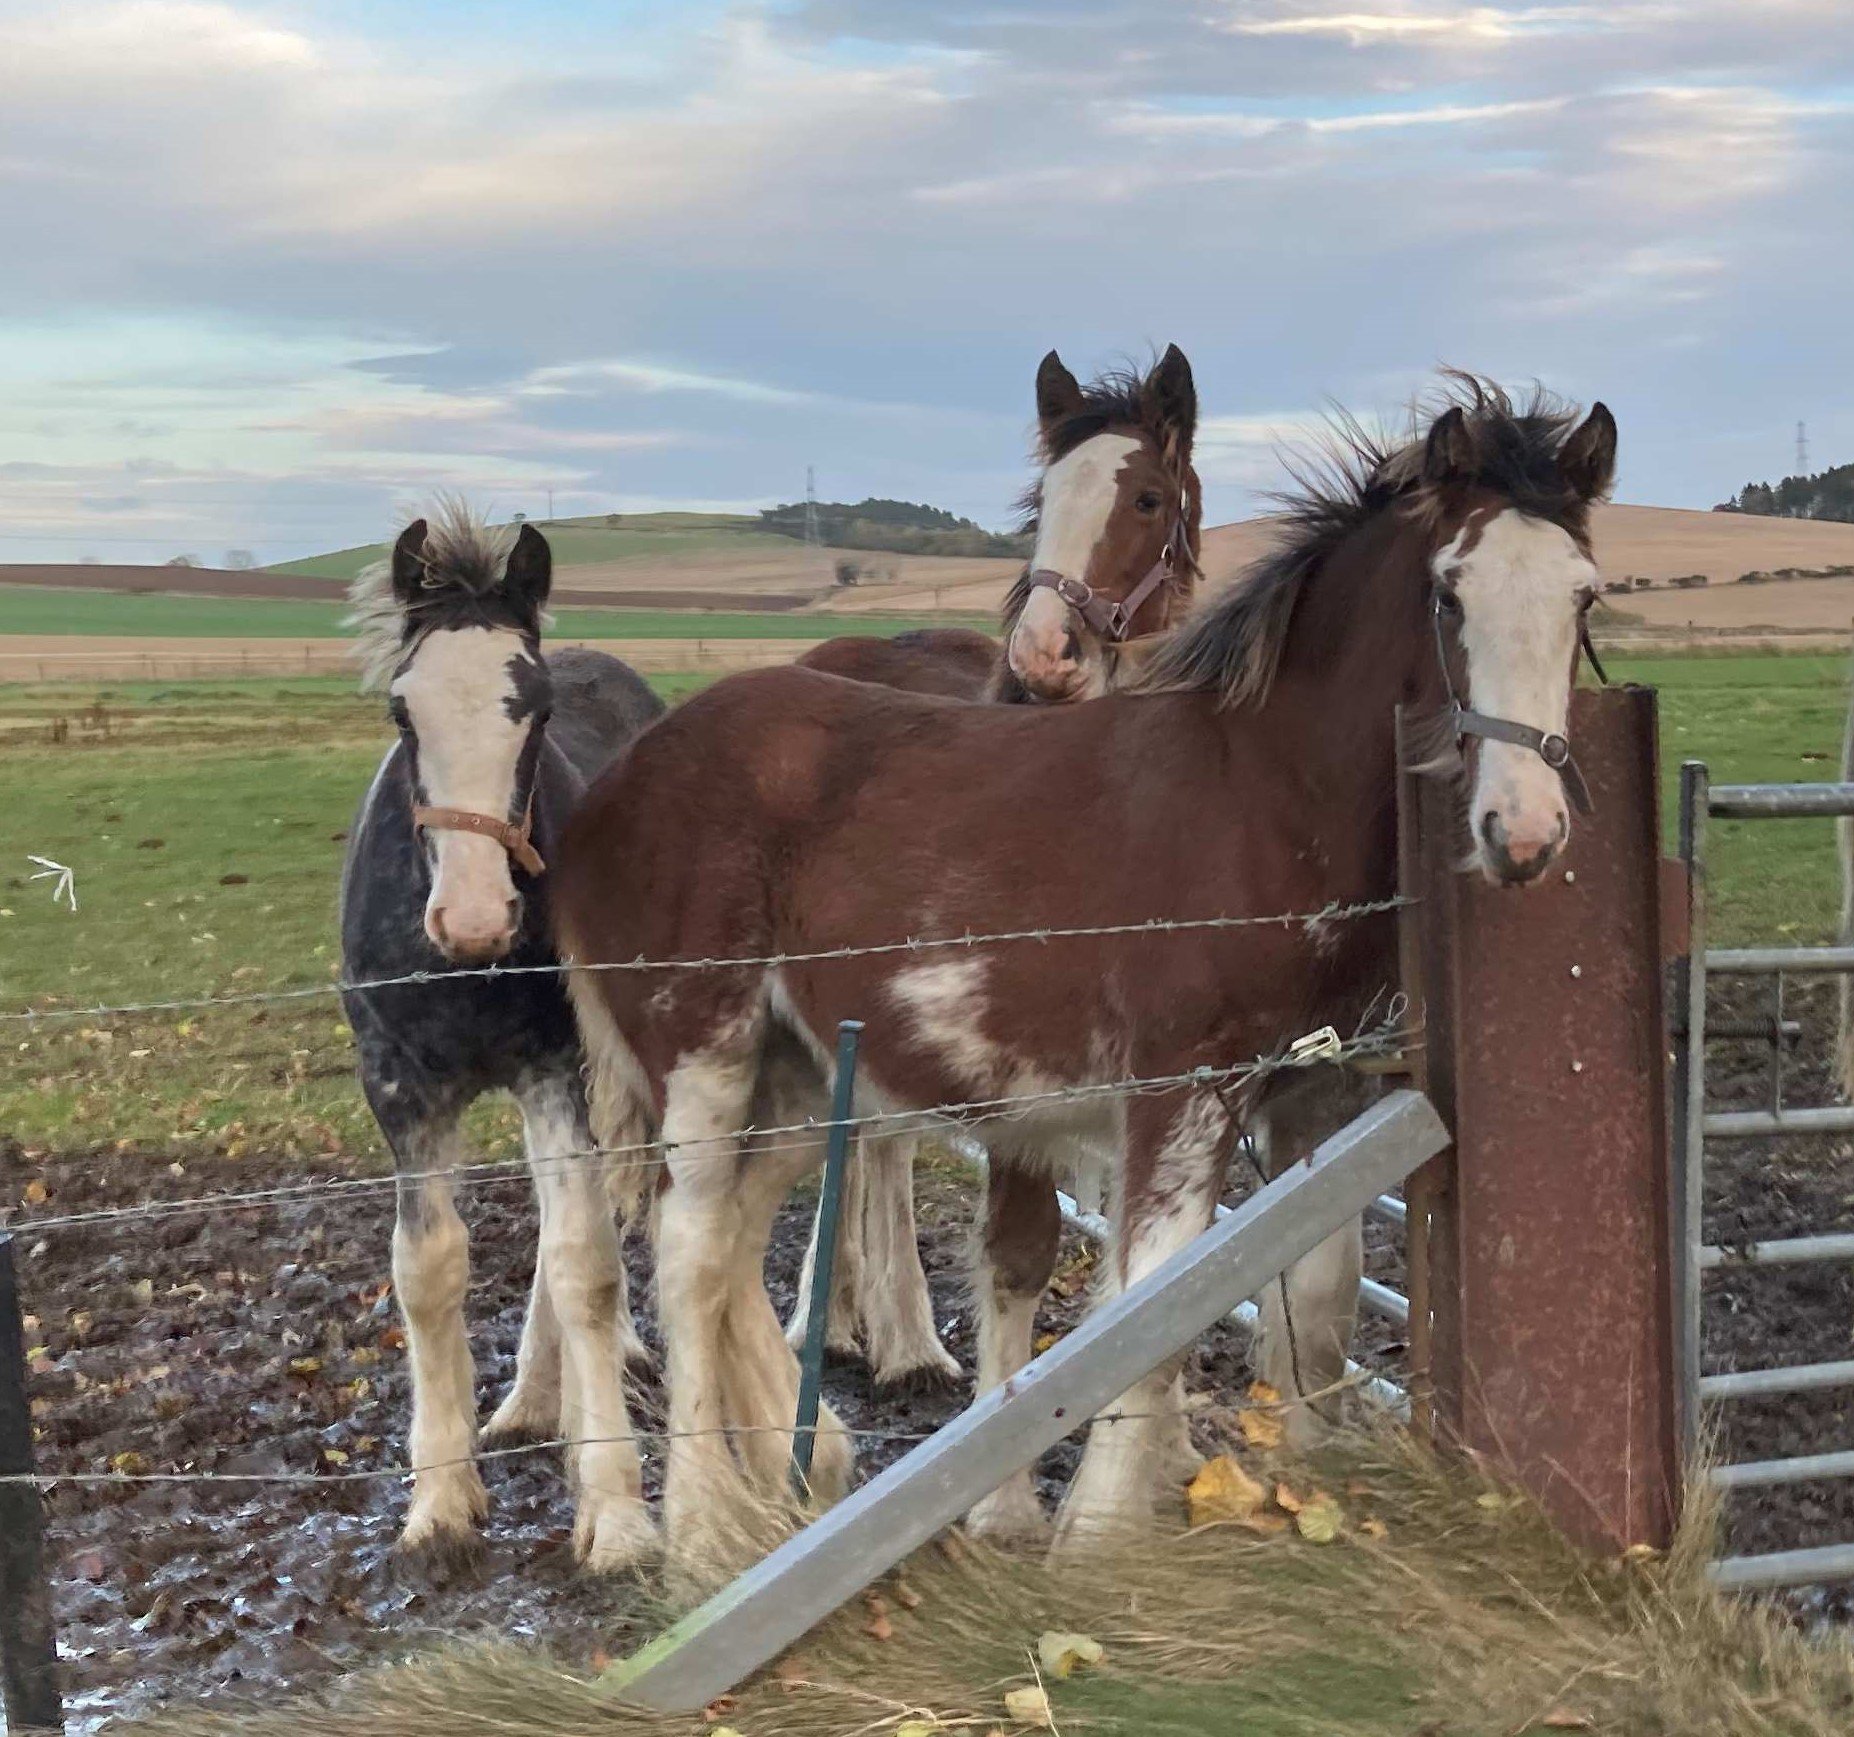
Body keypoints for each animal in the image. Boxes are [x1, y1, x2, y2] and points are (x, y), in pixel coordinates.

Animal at [338, 506, 664, 1570]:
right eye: (403, 712)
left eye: (541, 710)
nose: (475, 919)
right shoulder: (400, 1089)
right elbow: (428, 1266)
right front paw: (440, 1500)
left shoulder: (556, 1070)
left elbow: (583, 1261)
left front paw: (615, 1509)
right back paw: (529, 1399)